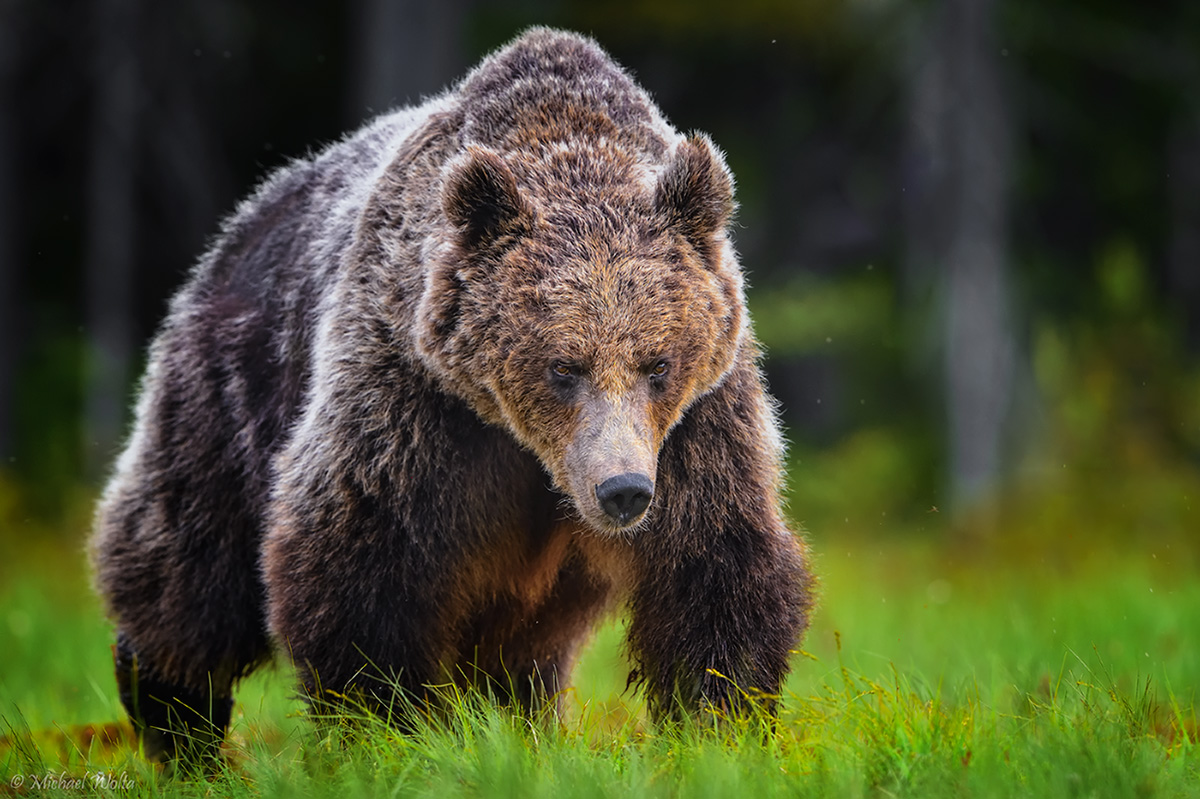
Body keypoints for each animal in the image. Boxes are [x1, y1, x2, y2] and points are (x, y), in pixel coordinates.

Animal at [90, 27, 814, 764]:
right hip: (232, 388)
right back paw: (173, 713)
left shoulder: (700, 419)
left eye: (658, 363)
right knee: (190, 563)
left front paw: (716, 728)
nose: (624, 490)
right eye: (564, 366)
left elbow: (714, 560)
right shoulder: (409, 394)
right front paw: (381, 729)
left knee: (524, 651)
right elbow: (362, 556)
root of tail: (239, 225)